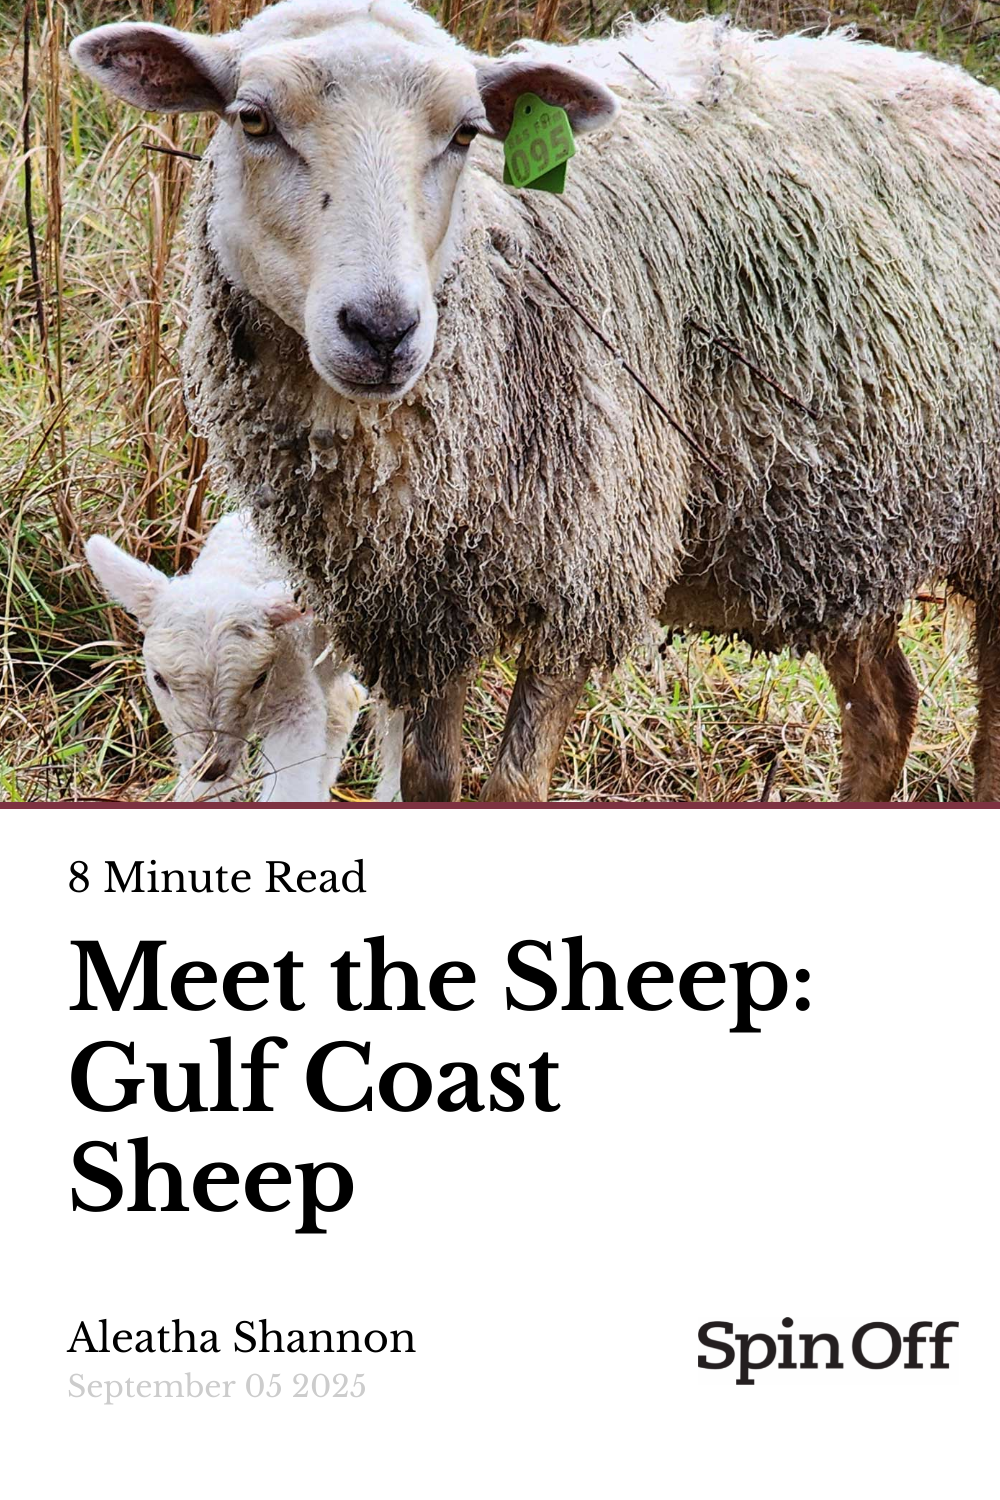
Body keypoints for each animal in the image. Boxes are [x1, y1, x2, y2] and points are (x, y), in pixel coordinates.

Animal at [85, 511, 389, 801]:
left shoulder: (296, 699)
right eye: (158, 679)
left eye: (260, 679)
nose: (212, 769)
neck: (233, 568)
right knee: (347, 702)